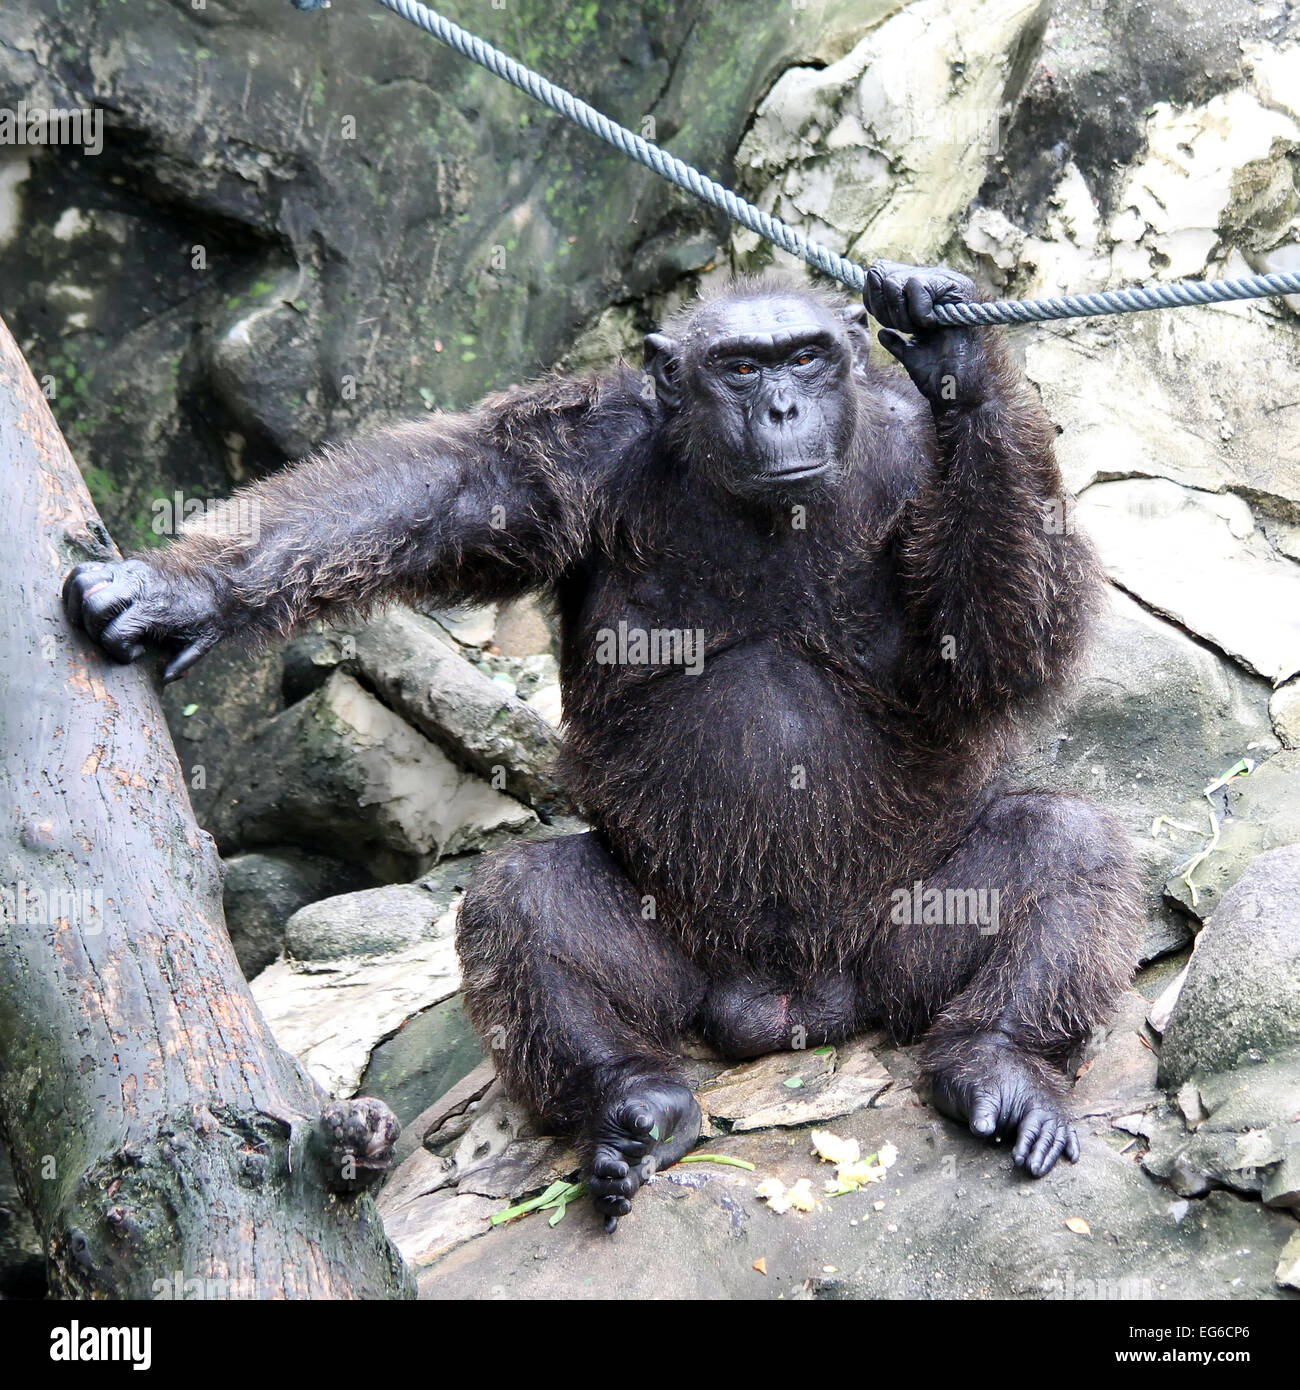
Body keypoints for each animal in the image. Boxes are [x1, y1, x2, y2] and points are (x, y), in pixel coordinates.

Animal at [64, 262, 1140, 1231]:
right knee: (519, 898)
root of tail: (794, 1007)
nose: (783, 403)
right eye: (739, 368)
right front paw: (184, 591)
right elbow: (449, 484)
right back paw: (634, 1106)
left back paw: (998, 1064)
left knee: (1066, 845)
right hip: (680, 965)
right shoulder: (573, 448)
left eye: (805, 355)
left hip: (898, 947)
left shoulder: (923, 466)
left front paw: (955, 356)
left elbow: (1001, 645)